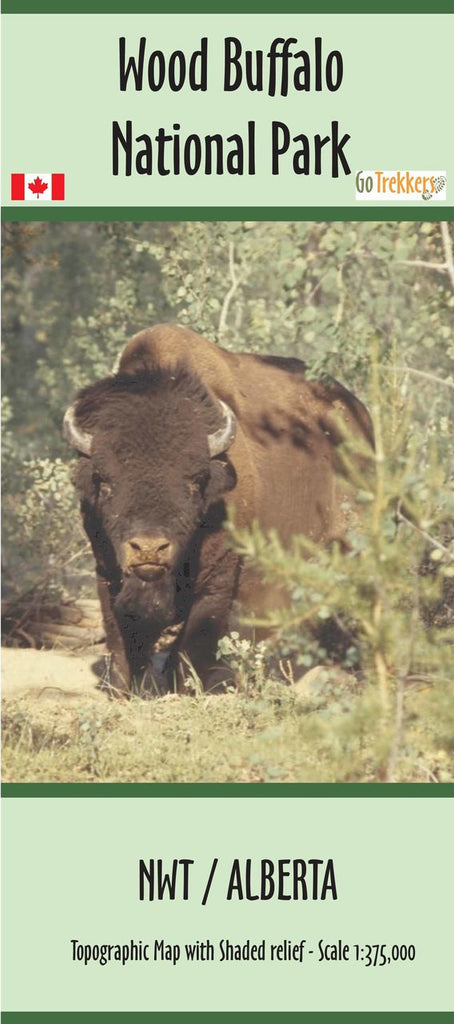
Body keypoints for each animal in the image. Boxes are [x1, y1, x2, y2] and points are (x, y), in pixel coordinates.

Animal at [64, 324, 373, 695]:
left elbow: (196, 638)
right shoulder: (106, 572)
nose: (149, 549)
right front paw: (123, 689)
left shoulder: (218, 579)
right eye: (105, 480)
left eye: (195, 481)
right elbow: (120, 635)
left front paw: (190, 687)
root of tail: (359, 416)